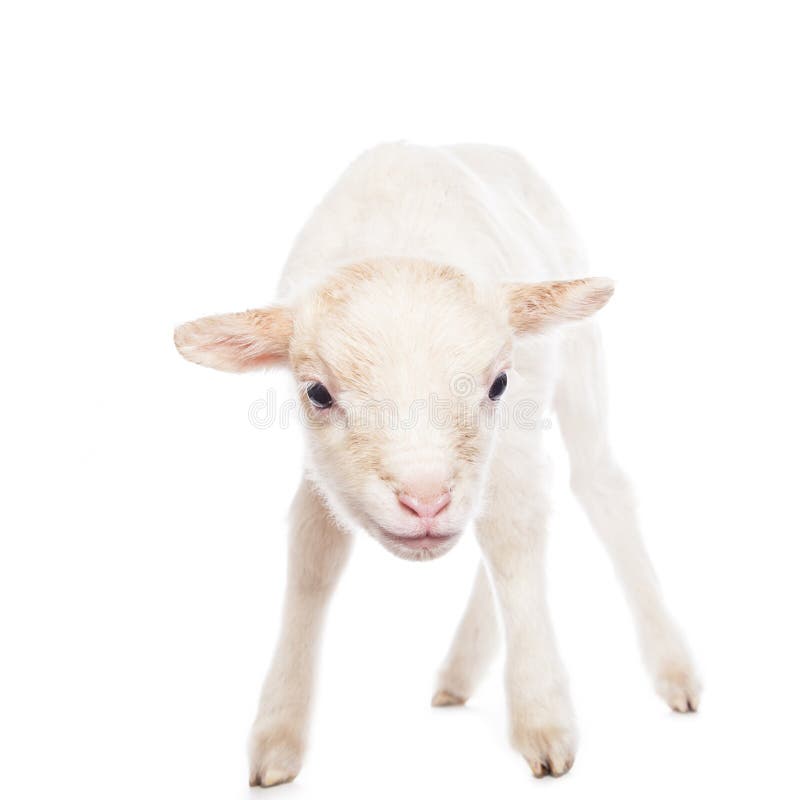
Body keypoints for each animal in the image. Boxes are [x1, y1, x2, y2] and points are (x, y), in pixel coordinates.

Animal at [174, 142, 700, 786]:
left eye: (497, 383)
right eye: (317, 393)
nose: (425, 502)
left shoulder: (513, 428)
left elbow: (513, 535)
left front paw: (543, 719)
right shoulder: (322, 472)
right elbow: (312, 559)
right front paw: (277, 739)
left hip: (580, 365)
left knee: (601, 488)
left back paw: (674, 670)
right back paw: (460, 671)